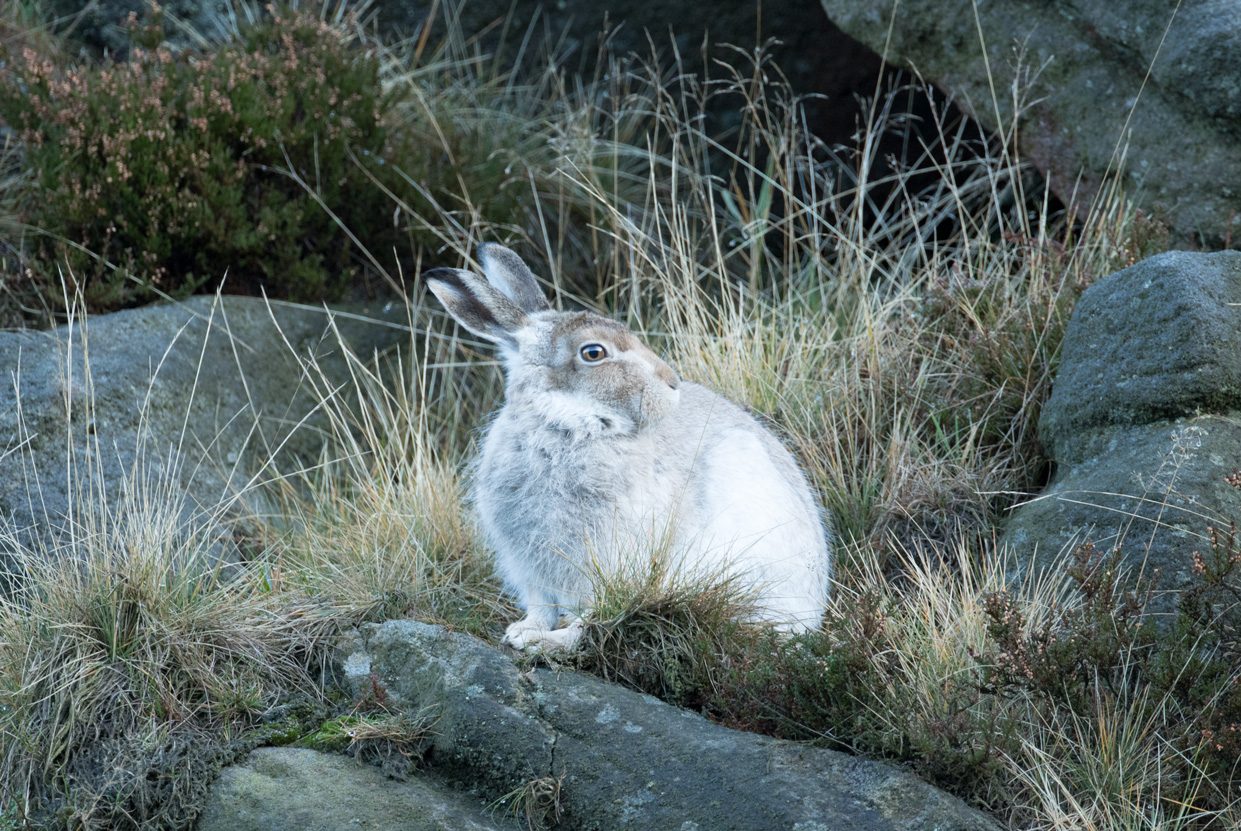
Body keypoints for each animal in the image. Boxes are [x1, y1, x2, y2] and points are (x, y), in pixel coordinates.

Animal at [425, 244, 832, 651]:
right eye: (593, 353)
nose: (672, 382)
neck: (569, 425)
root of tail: (812, 609)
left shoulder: (607, 564)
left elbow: (595, 616)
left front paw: (551, 644)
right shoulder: (532, 565)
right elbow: (542, 605)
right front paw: (525, 632)